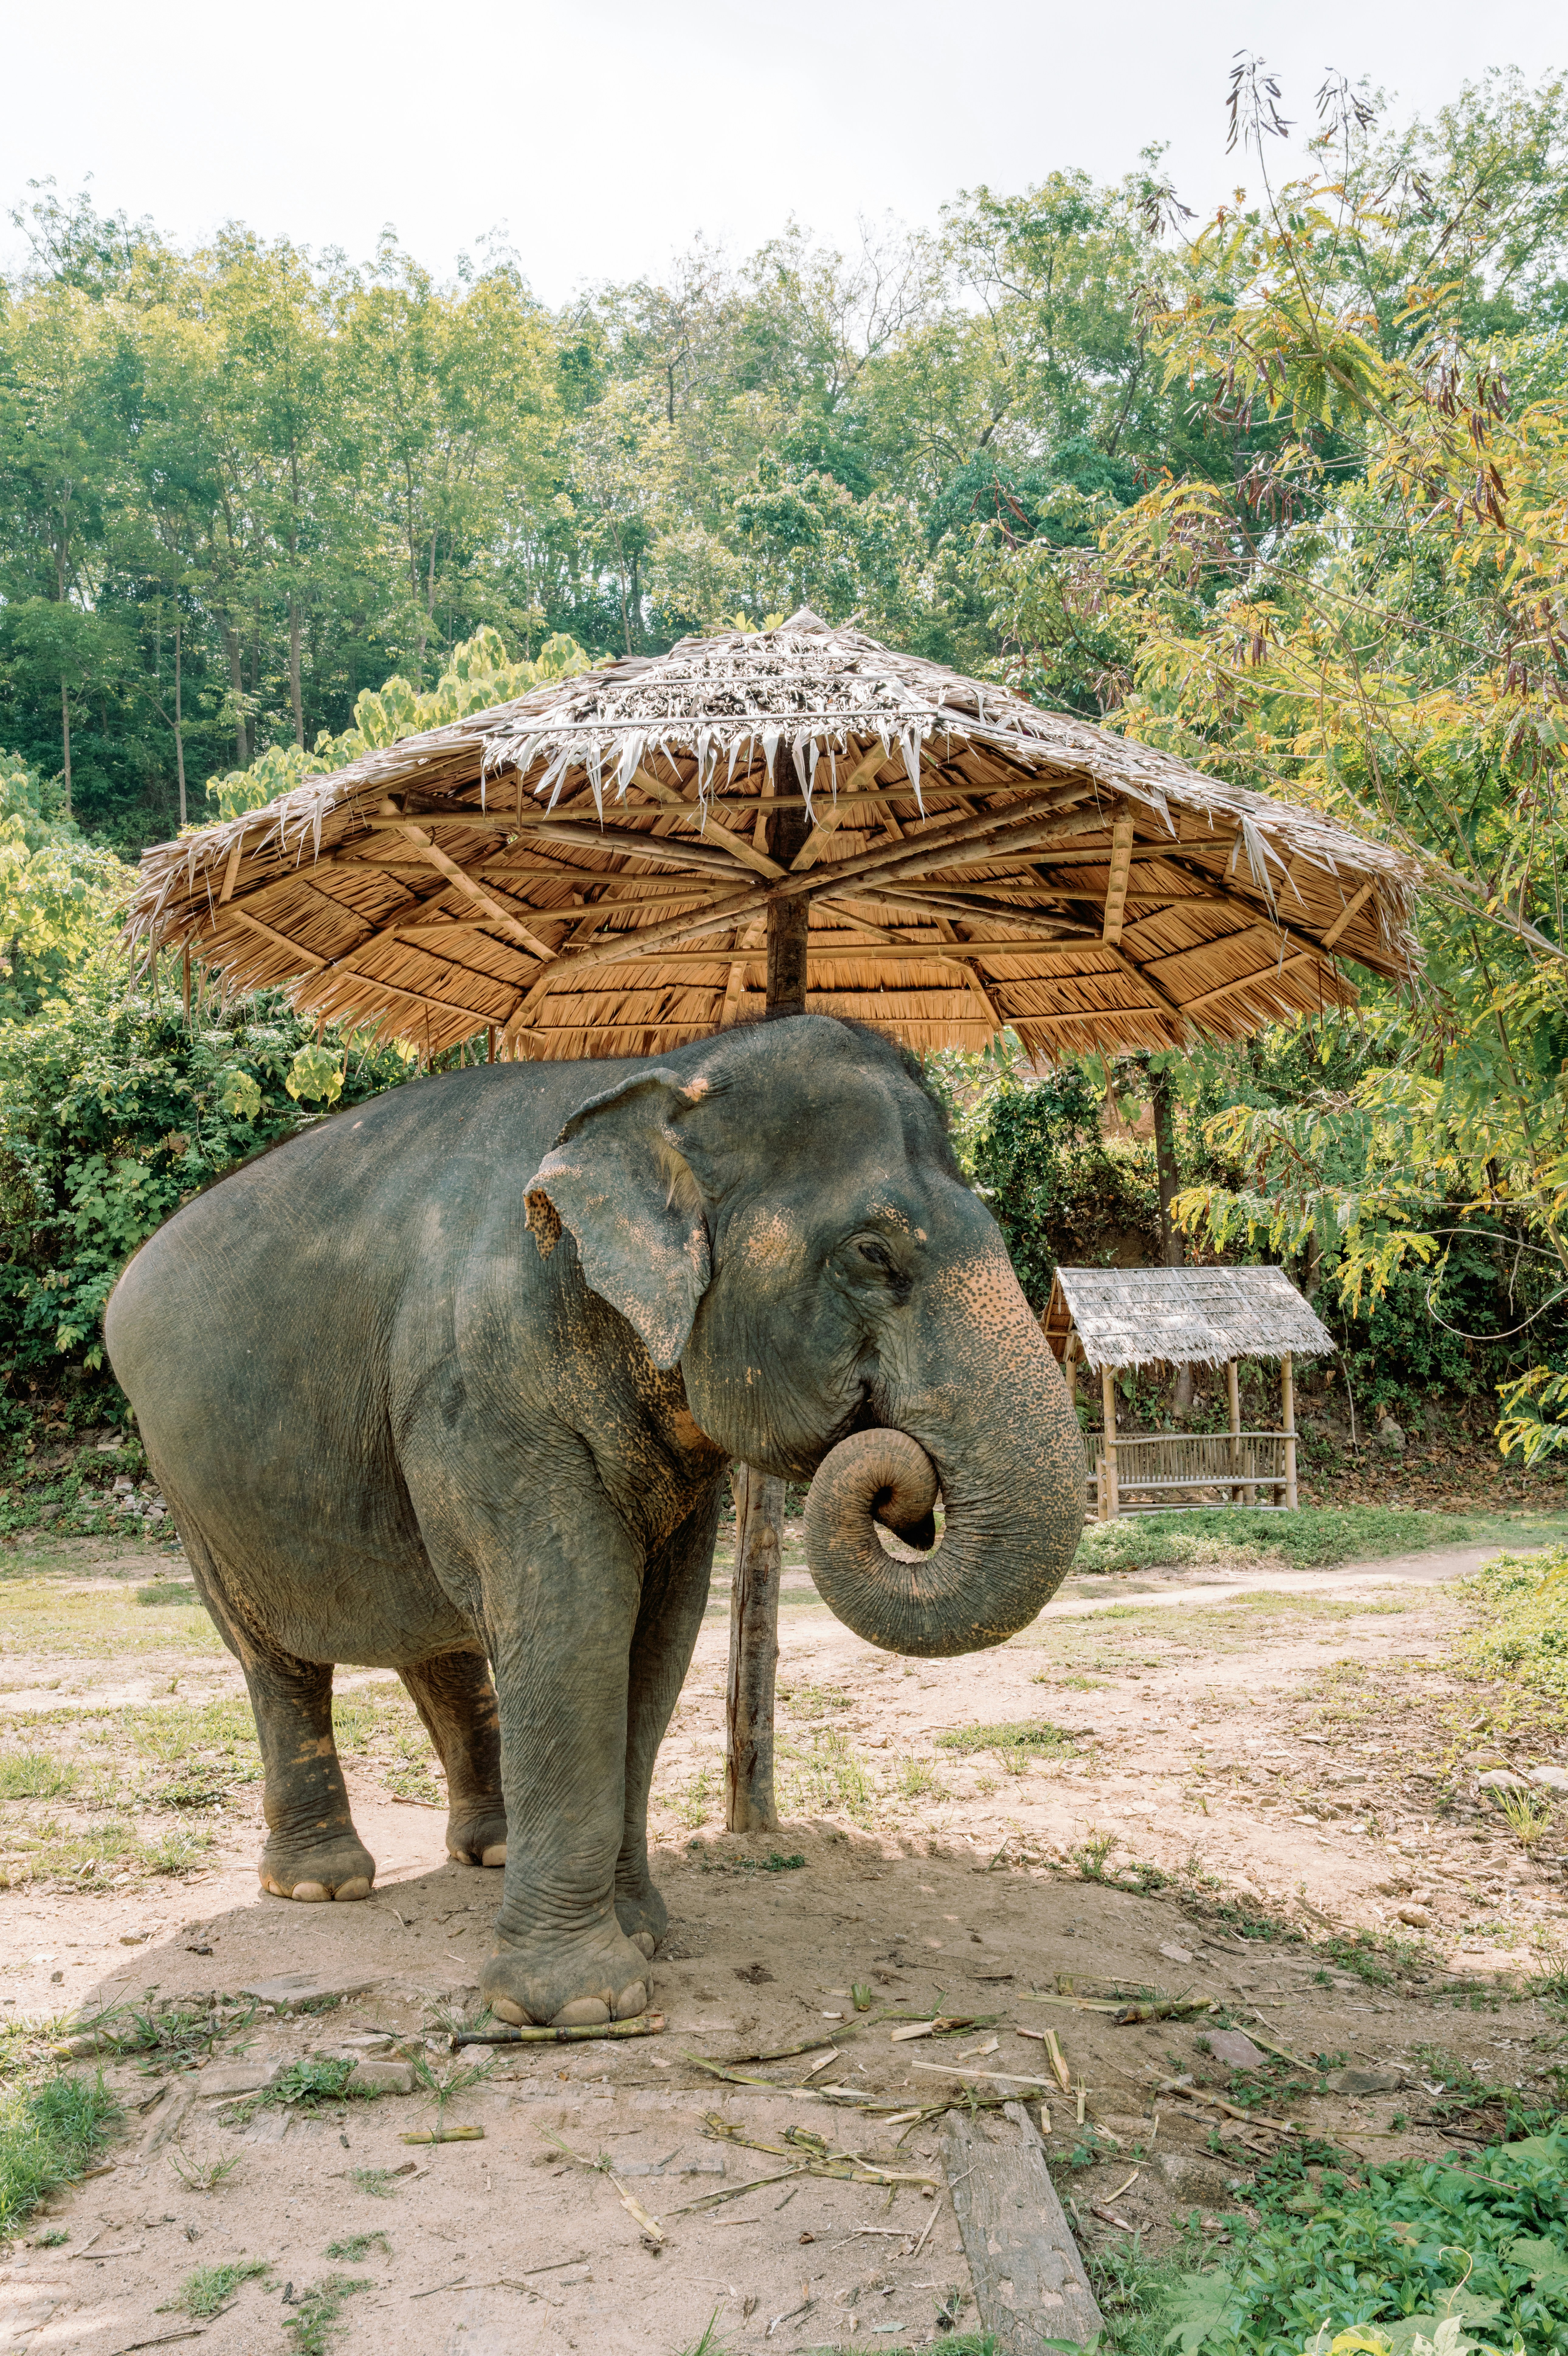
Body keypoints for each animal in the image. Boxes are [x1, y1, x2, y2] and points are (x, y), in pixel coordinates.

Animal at [104, 1015, 1085, 2027]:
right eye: (873, 1254)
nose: (905, 1484)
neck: (664, 1078)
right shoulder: (486, 1386)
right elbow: (575, 1618)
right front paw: (577, 2007)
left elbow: (656, 1638)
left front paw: (644, 1935)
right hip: (189, 1490)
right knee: (276, 1661)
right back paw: (322, 1886)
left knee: (438, 1636)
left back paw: (490, 1852)